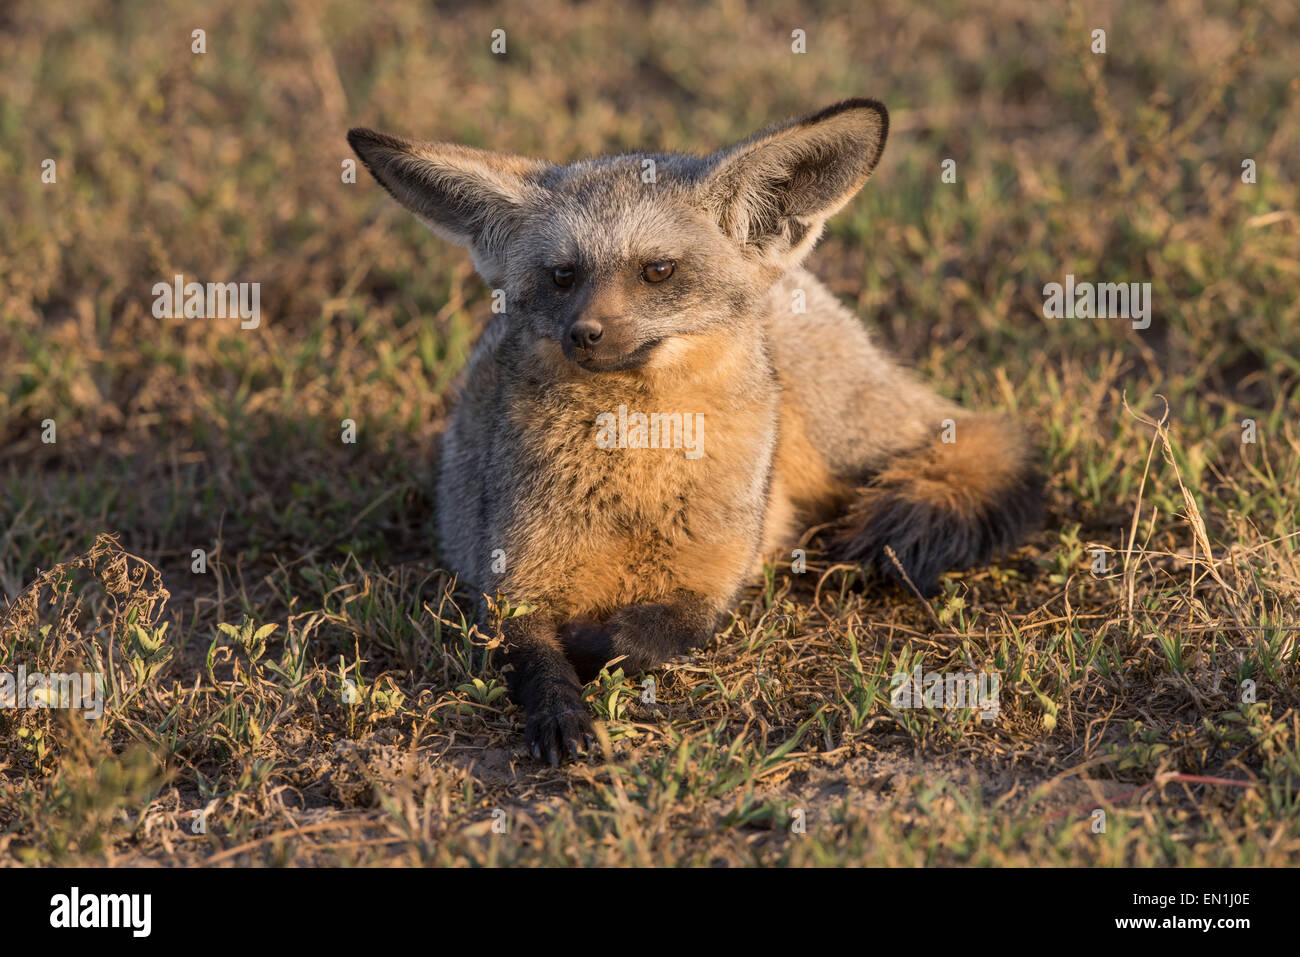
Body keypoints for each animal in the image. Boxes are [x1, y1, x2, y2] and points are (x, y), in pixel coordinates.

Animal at [348, 99, 1042, 764]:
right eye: (563, 275)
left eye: (657, 271)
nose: (583, 334)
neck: (636, 482)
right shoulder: (511, 587)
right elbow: (537, 660)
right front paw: (559, 713)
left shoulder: (712, 580)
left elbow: (635, 641)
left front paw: (594, 645)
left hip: (851, 443)